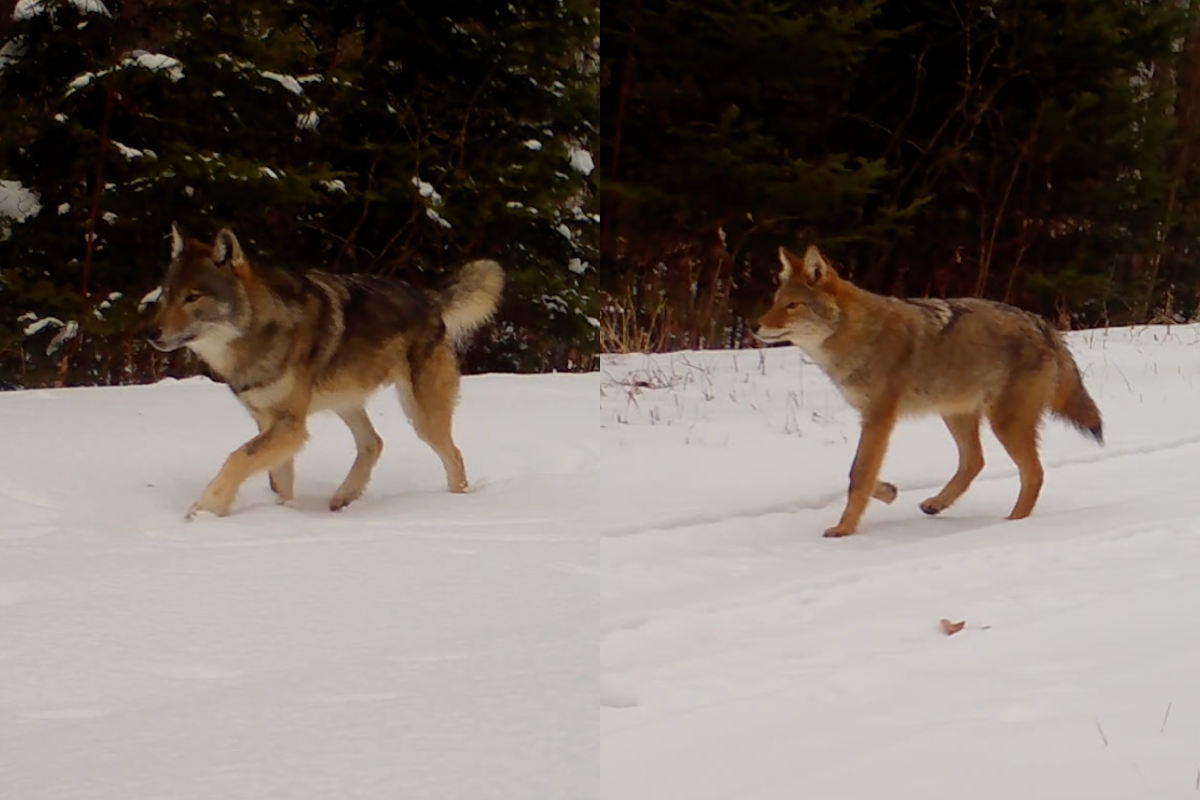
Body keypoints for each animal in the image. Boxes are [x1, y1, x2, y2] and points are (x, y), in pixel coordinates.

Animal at [146, 225, 504, 519]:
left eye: (193, 297)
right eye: (165, 295)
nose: (151, 333)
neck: (255, 335)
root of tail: (429, 298)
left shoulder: (291, 426)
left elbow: (237, 457)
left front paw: (204, 510)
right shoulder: (269, 422)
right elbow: (279, 480)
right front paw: (283, 515)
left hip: (421, 417)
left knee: (453, 455)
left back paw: (454, 504)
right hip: (346, 401)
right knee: (374, 442)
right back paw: (344, 496)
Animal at [754, 245, 1103, 538]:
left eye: (793, 305)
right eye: (775, 302)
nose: (755, 327)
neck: (858, 335)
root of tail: (1044, 326)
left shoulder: (880, 417)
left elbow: (858, 474)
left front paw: (843, 530)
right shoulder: (872, 419)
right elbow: (860, 474)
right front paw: (888, 492)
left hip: (1003, 424)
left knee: (1033, 472)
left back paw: (1011, 524)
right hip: (957, 414)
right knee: (975, 461)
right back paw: (936, 503)